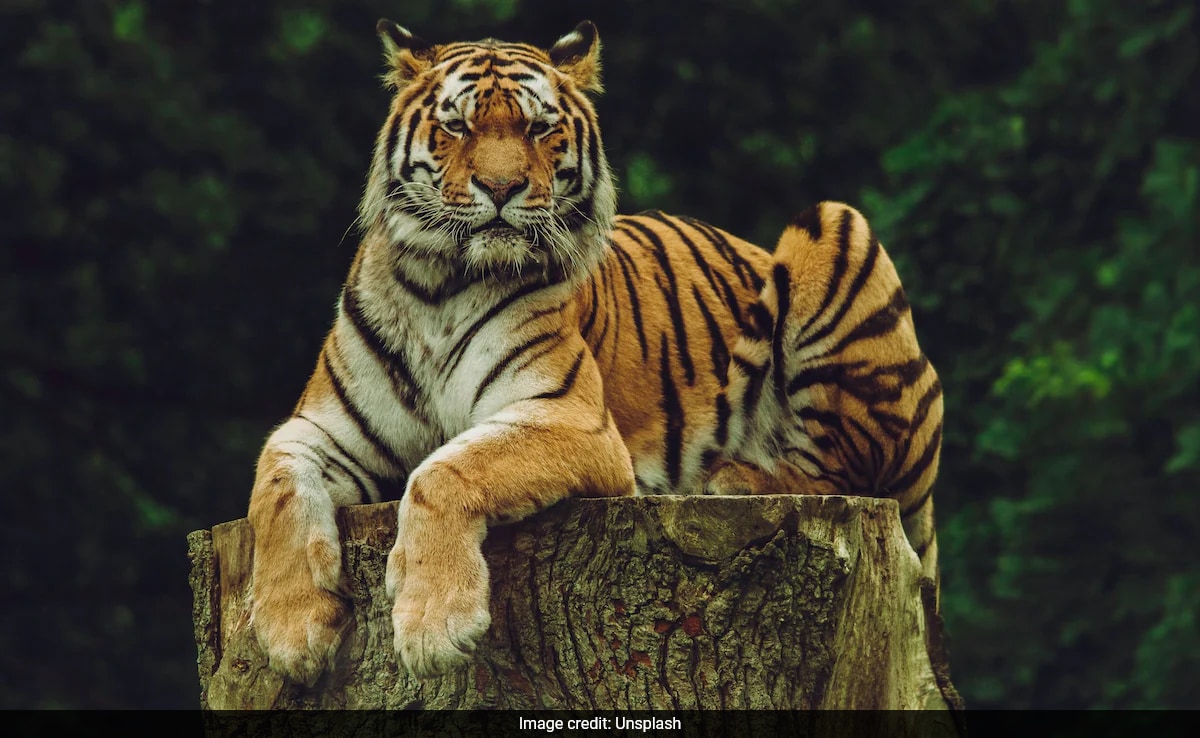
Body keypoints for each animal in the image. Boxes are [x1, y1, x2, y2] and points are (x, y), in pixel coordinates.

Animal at [247, 19, 943, 685]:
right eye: (457, 125)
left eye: (538, 127)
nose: (501, 186)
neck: (438, 286)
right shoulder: (321, 429)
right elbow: (274, 491)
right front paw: (291, 633)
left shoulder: (569, 418)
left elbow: (444, 470)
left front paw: (434, 627)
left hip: (836, 226)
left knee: (847, 469)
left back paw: (732, 476)